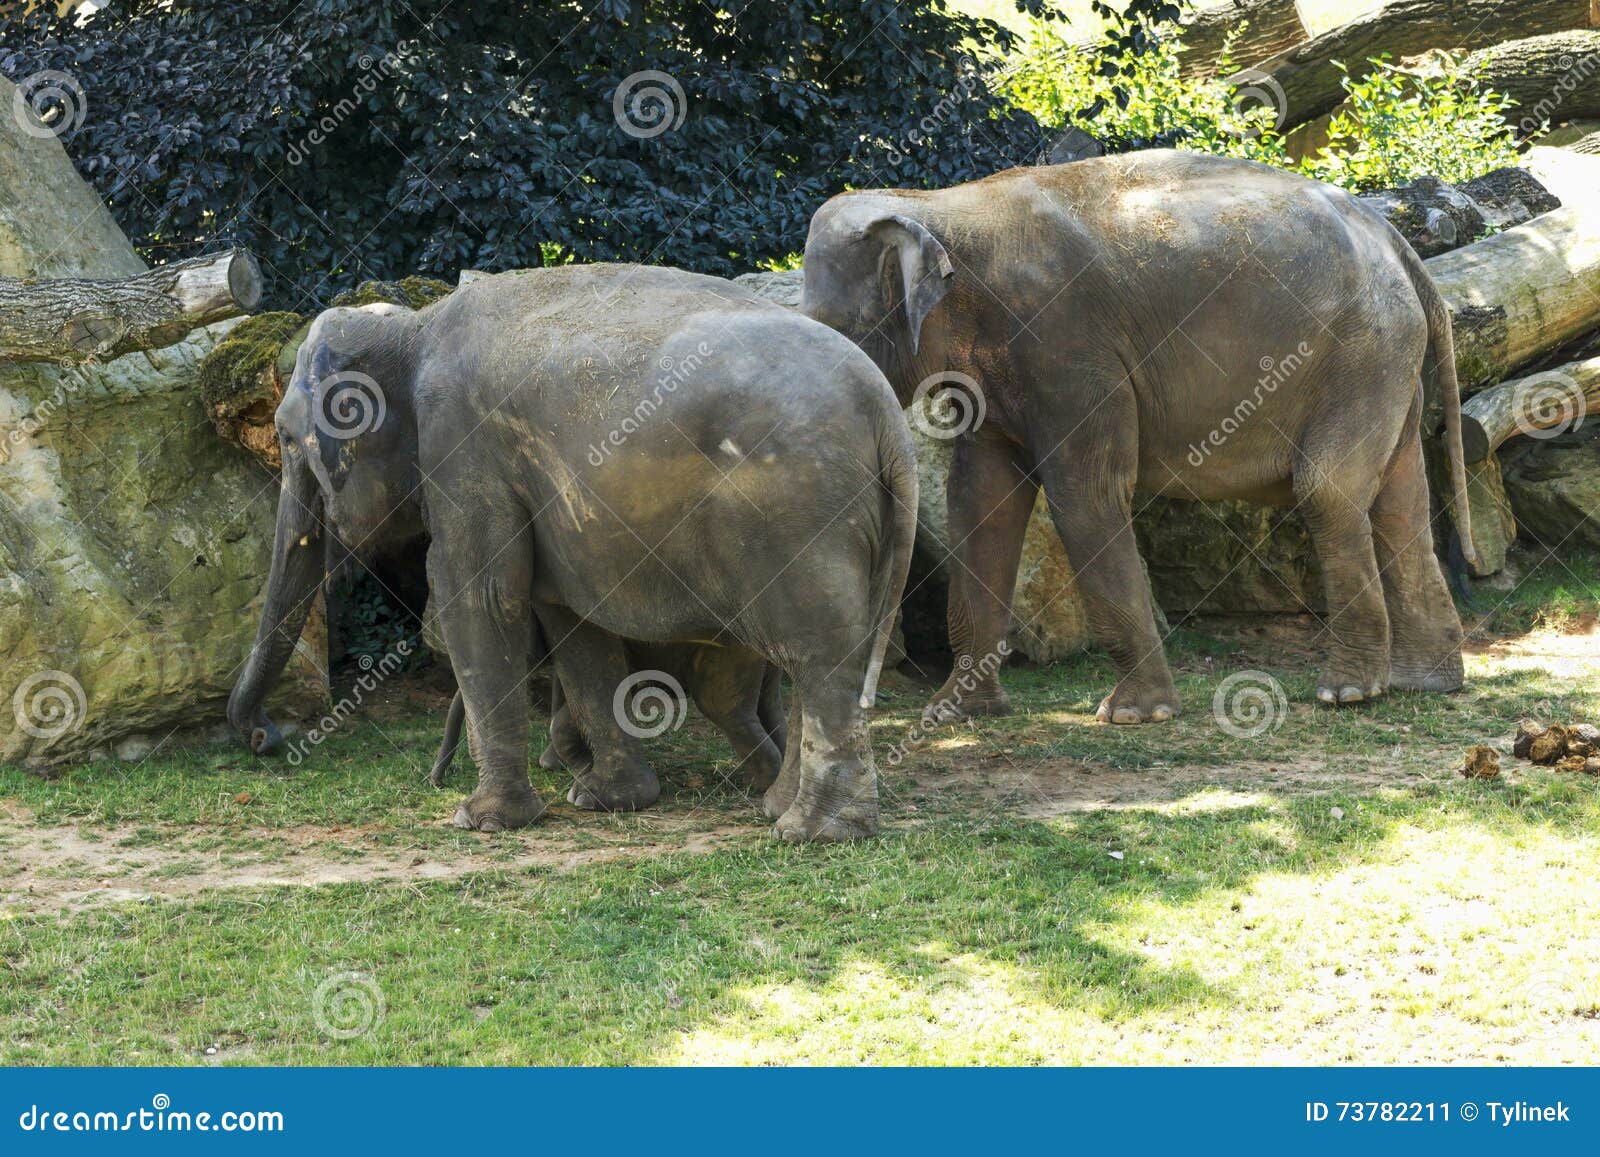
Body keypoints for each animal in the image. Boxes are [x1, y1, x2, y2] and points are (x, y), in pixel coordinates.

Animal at [226, 263, 917, 841]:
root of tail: (887, 410)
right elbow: (571, 622)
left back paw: (814, 832)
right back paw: (779, 808)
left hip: (799, 513)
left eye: (284, 438)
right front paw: (608, 799)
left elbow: (479, 598)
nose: (265, 737)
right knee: (814, 656)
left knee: (818, 653)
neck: (414, 328)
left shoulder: (463, 448)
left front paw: (481, 821)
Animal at [799, 149, 1476, 725]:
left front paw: (1132, 715)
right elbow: (981, 504)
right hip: (1387, 359)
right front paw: (953, 715)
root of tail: (1394, 239)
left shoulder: (1069, 347)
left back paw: (1349, 693)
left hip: (1361, 352)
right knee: (1399, 499)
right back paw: (1425, 684)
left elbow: (1086, 494)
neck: (935, 207)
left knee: (1329, 493)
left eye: (834, 328)